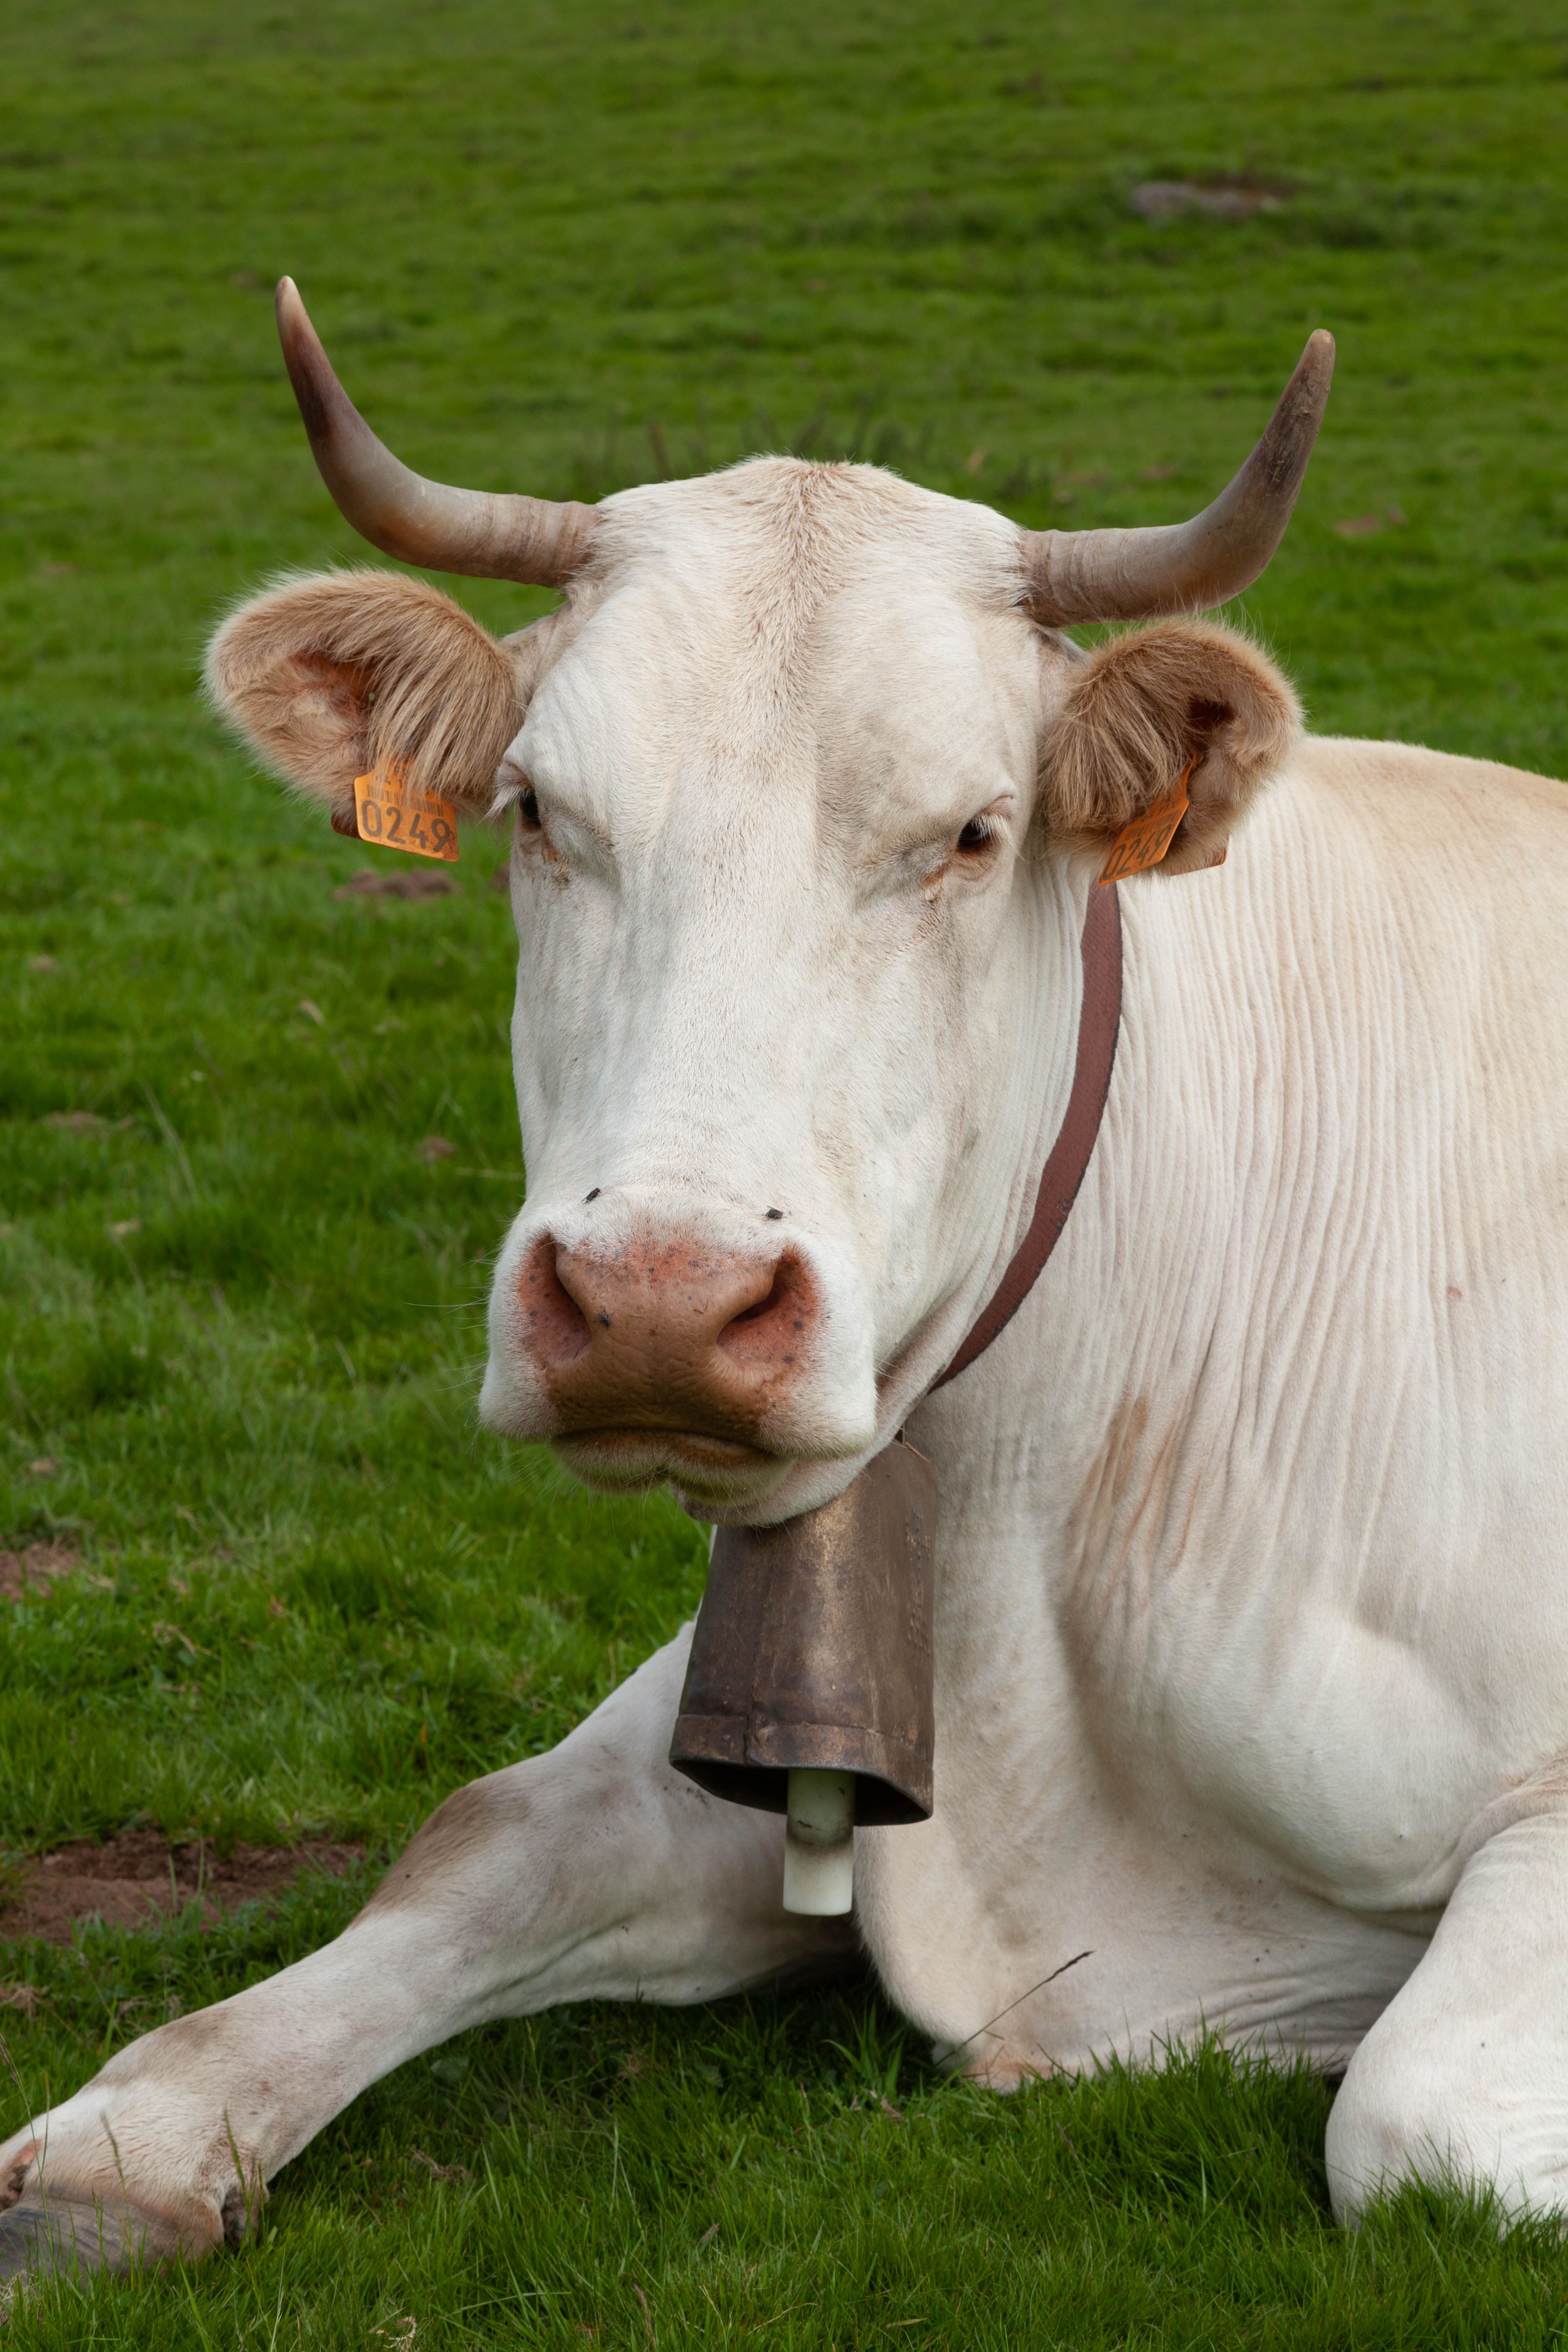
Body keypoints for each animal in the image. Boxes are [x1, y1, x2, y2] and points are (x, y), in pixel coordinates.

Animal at [5, 279, 1568, 2282]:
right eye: (537, 812)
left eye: (973, 831)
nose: (659, 1300)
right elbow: (484, 1833)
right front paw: (128, 2135)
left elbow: (1415, 2120)